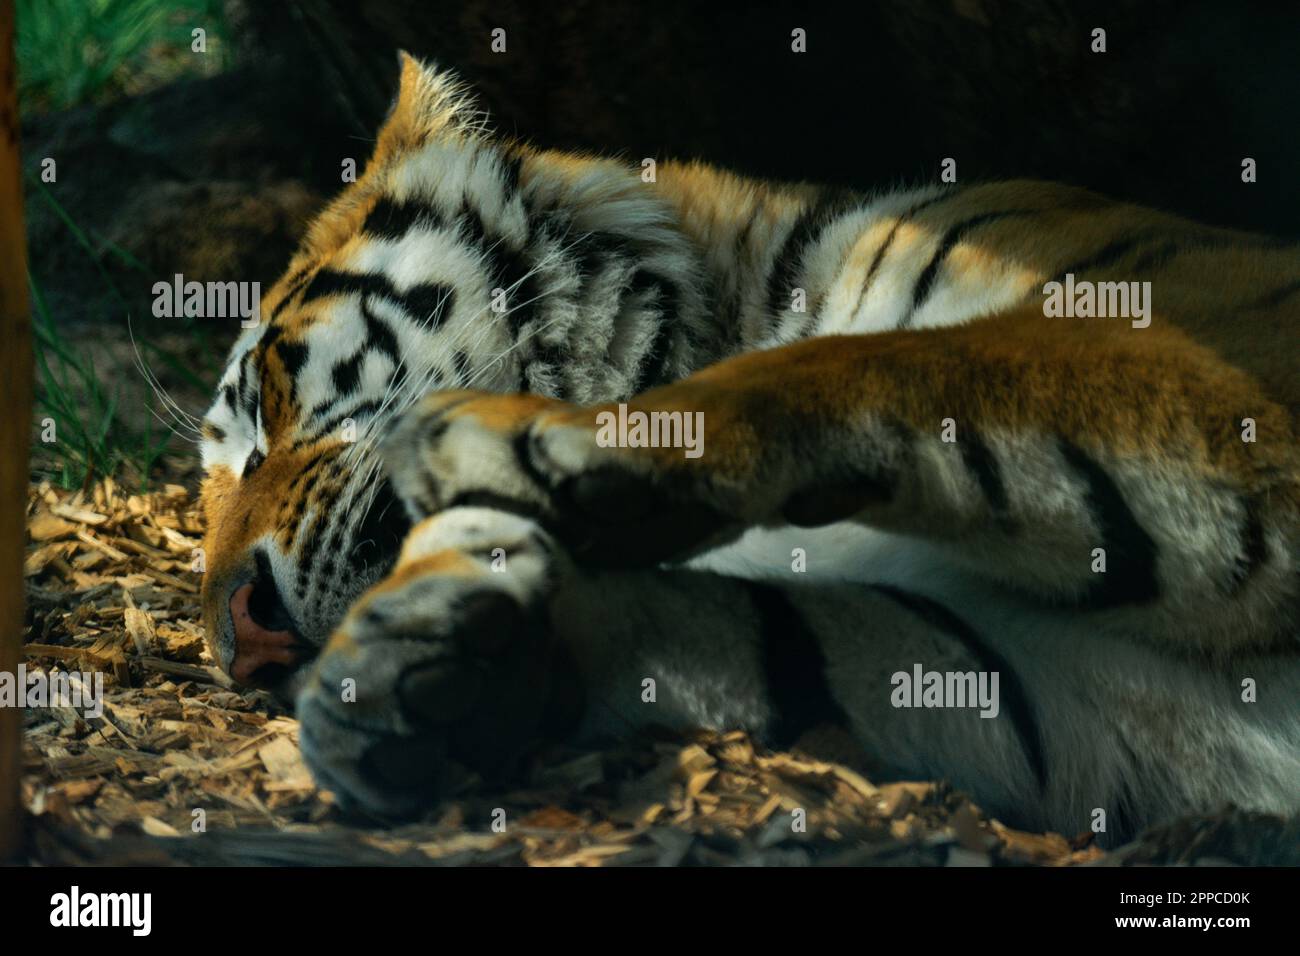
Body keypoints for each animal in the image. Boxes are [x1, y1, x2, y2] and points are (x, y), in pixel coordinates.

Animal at [197, 54, 1300, 845]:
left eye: (265, 411)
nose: (241, 647)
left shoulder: (1220, 354)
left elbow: (899, 359)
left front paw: (520, 447)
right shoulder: (1084, 690)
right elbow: (772, 634)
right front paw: (416, 664)